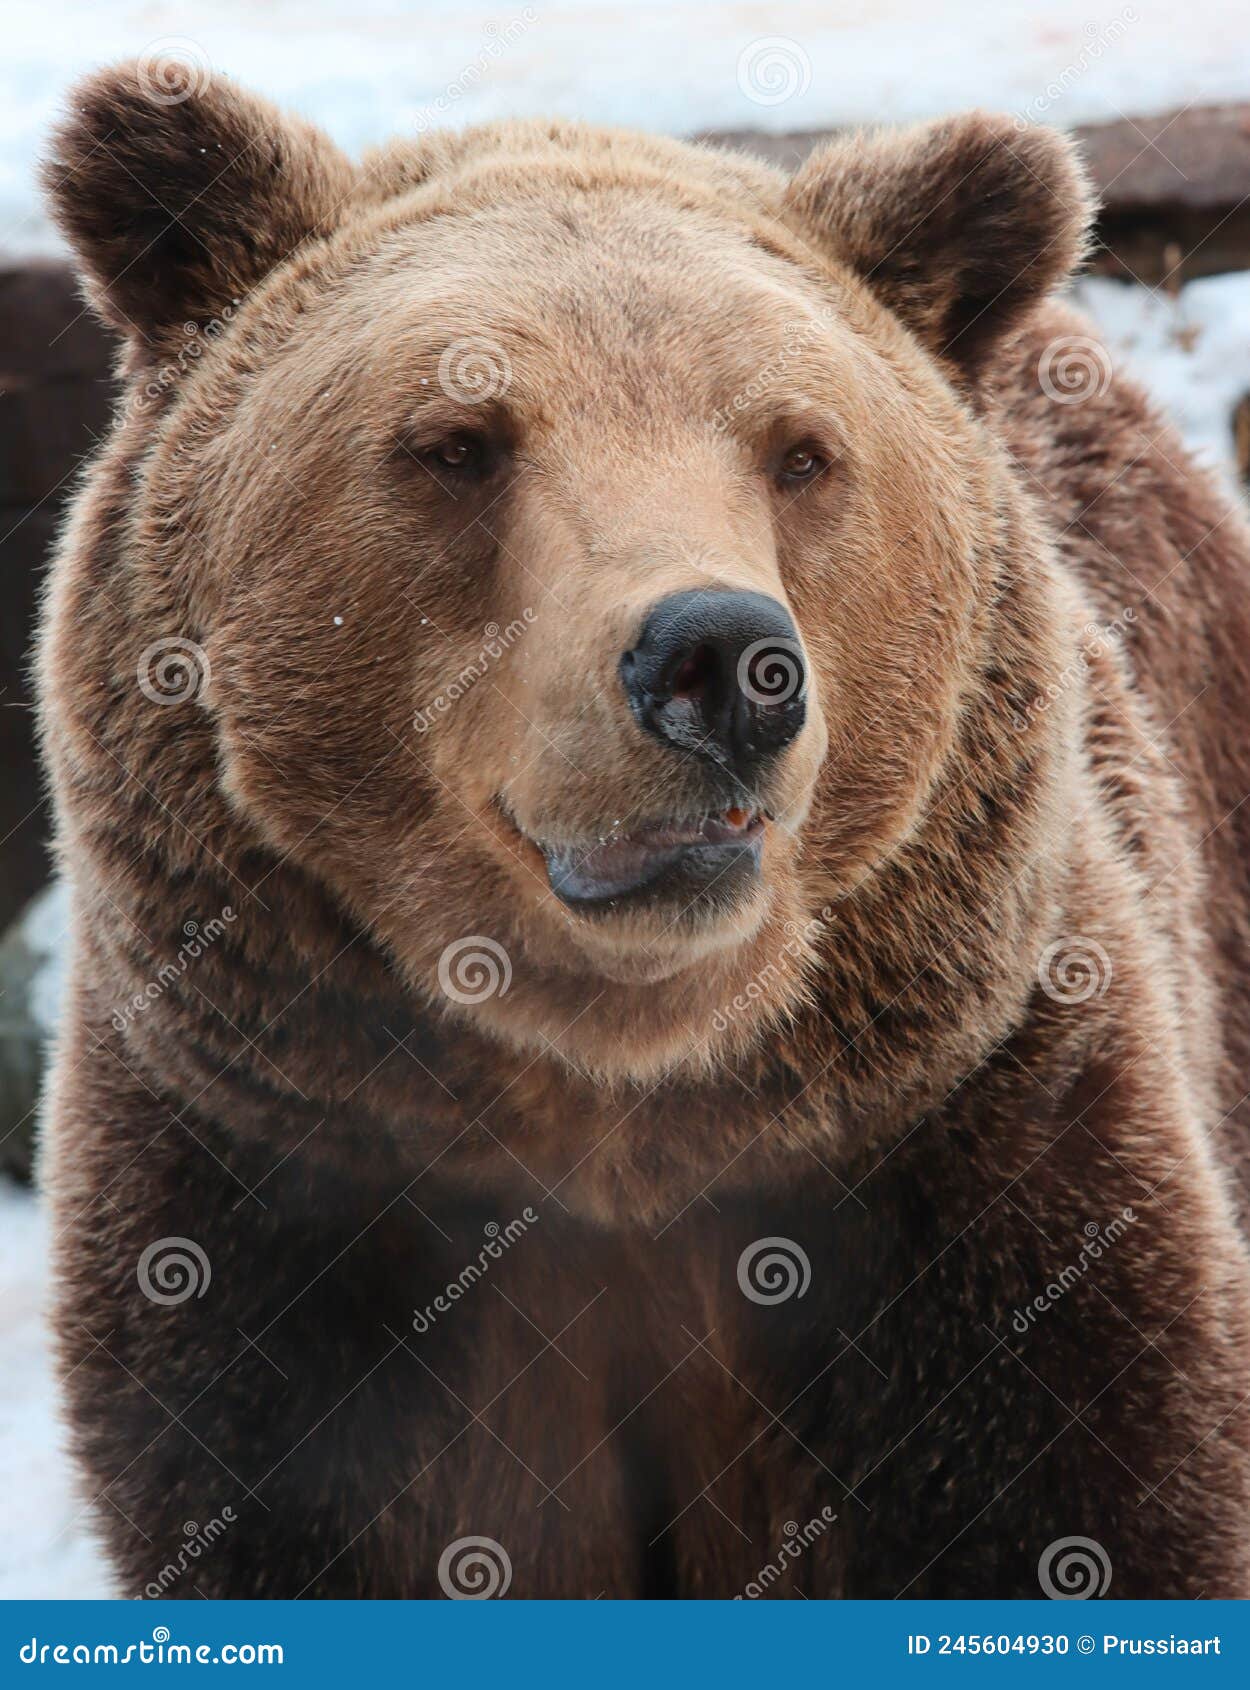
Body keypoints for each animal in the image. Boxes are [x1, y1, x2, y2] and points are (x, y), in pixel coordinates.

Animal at [35, 59, 1250, 1600]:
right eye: (456, 442)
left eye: (799, 450)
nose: (722, 661)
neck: (626, 1111)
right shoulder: (286, 1208)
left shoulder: (969, 1171)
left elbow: (1069, 1497)